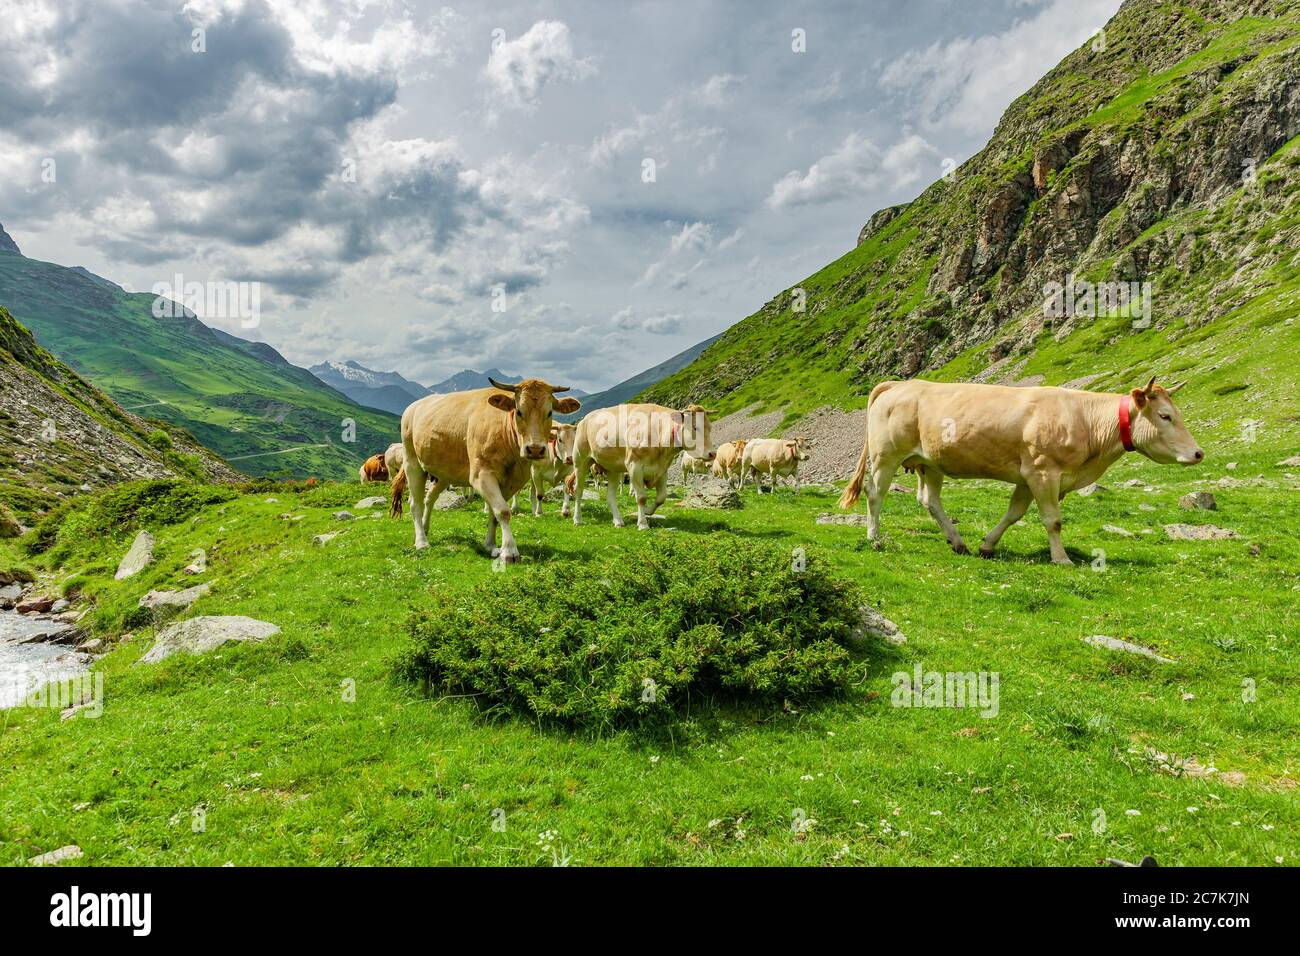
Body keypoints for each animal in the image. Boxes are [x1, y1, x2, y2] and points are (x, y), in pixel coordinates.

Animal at [390, 377, 581, 562]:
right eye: (519, 411)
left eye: (549, 412)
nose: (535, 449)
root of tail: (414, 406)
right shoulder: (481, 475)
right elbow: (503, 511)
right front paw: (510, 551)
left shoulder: (512, 481)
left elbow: (494, 513)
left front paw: (490, 545)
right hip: (412, 463)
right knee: (415, 503)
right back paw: (421, 541)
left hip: (443, 473)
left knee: (429, 498)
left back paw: (425, 527)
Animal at [572, 403, 715, 530]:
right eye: (695, 427)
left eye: (710, 428)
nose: (712, 453)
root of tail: (585, 419)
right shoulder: (634, 467)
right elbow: (641, 497)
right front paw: (642, 523)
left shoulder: (662, 470)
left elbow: (662, 497)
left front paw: (647, 511)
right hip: (580, 461)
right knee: (578, 490)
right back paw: (577, 519)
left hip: (613, 469)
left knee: (610, 495)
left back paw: (618, 520)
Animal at [838, 377, 1204, 565]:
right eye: (1165, 416)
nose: (1198, 453)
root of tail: (898, 383)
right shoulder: (1044, 471)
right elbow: (1052, 520)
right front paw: (1062, 559)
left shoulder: (1030, 476)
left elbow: (1014, 513)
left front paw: (987, 545)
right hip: (886, 455)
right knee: (875, 493)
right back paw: (874, 538)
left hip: (929, 463)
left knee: (930, 501)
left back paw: (958, 542)